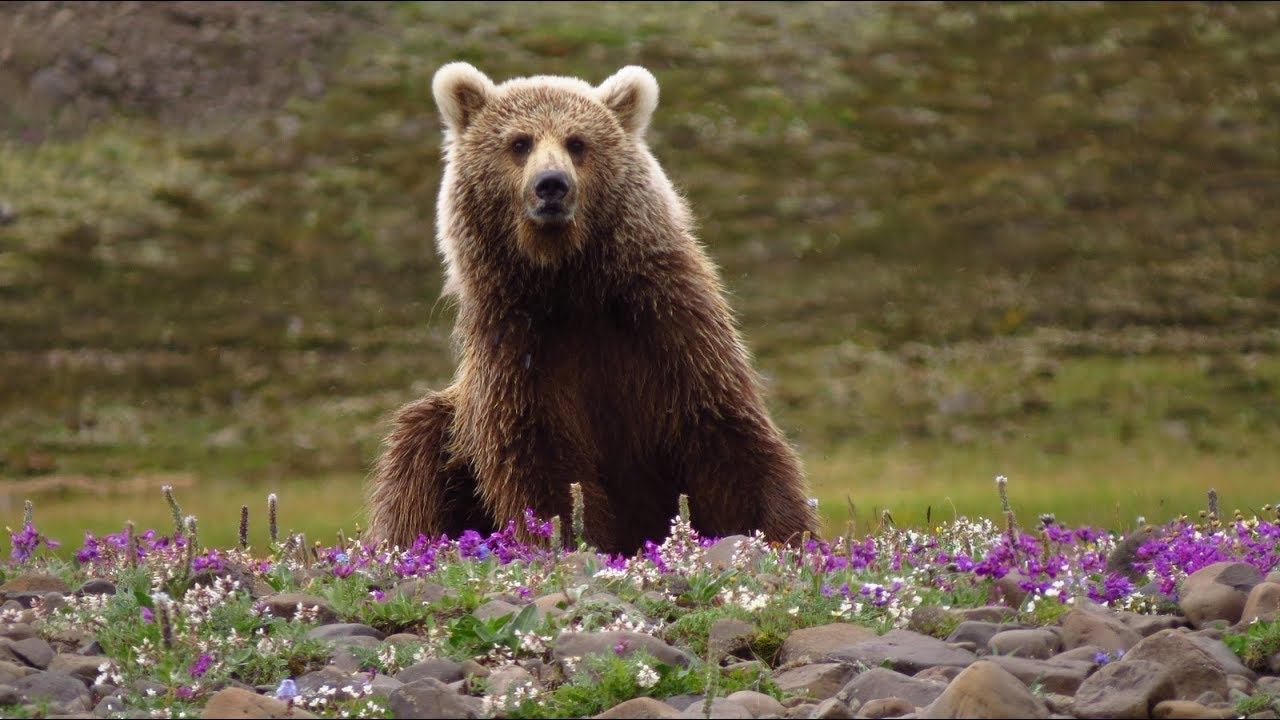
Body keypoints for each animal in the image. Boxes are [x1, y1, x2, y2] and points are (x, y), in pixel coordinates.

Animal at [367, 62, 818, 554]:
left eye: (577, 142)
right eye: (519, 142)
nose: (552, 185)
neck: (572, 283)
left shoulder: (668, 328)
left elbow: (724, 435)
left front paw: (781, 535)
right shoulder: (522, 350)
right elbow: (544, 467)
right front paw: (566, 538)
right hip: (447, 437)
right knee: (414, 463)